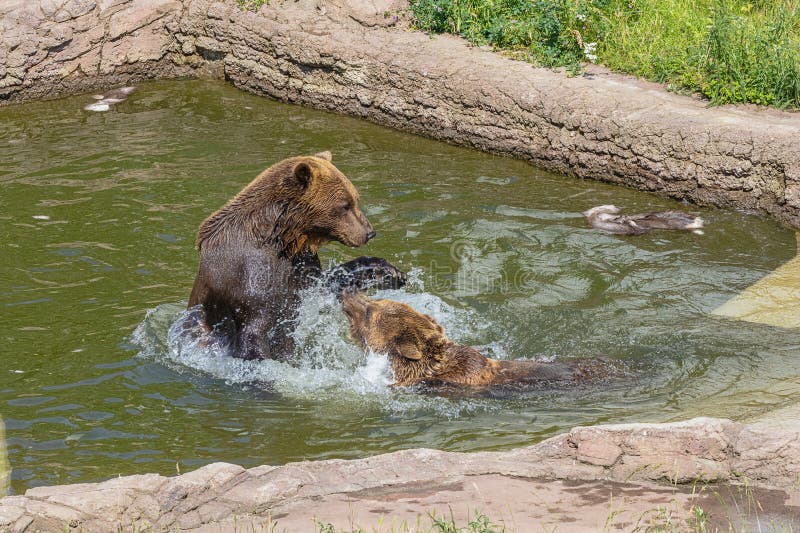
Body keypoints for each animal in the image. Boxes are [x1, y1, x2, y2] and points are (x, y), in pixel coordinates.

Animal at [188, 151, 406, 361]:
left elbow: (322, 282)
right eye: (345, 205)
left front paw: (388, 272)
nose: (369, 233)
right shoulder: (247, 271)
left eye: (356, 199)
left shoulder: (299, 262)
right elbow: (255, 329)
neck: (282, 238)